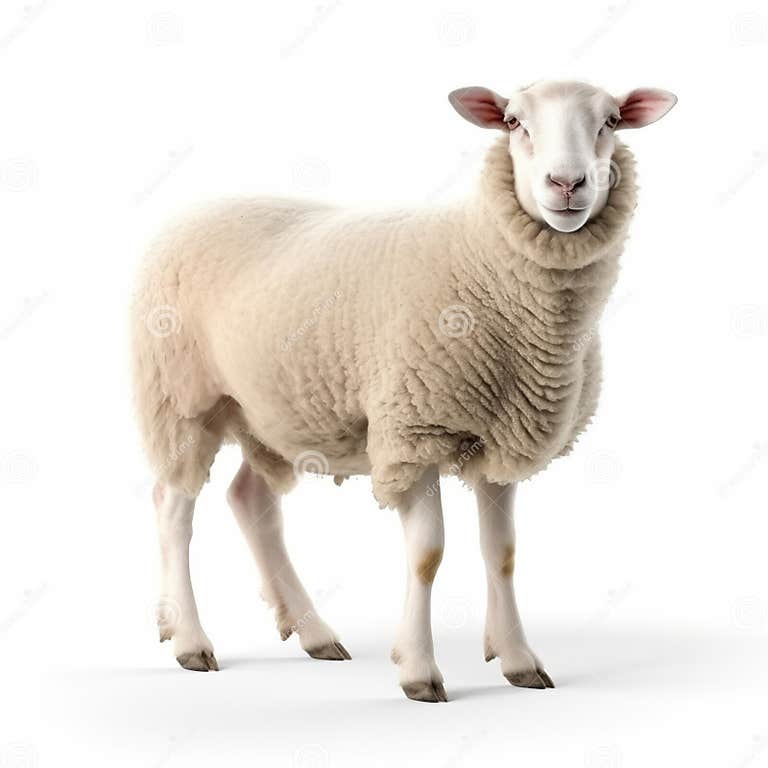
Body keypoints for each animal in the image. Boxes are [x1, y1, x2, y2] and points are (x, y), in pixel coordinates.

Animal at [132, 80, 677, 701]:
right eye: (514, 122)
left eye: (610, 121)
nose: (566, 184)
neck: (485, 266)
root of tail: (195, 208)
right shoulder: (413, 431)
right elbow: (427, 555)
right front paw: (419, 670)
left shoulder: (505, 434)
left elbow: (503, 554)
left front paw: (518, 660)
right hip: (182, 399)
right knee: (174, 508)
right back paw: (190, 639)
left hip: (269, 409)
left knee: (251, 501)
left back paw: (314, 633)